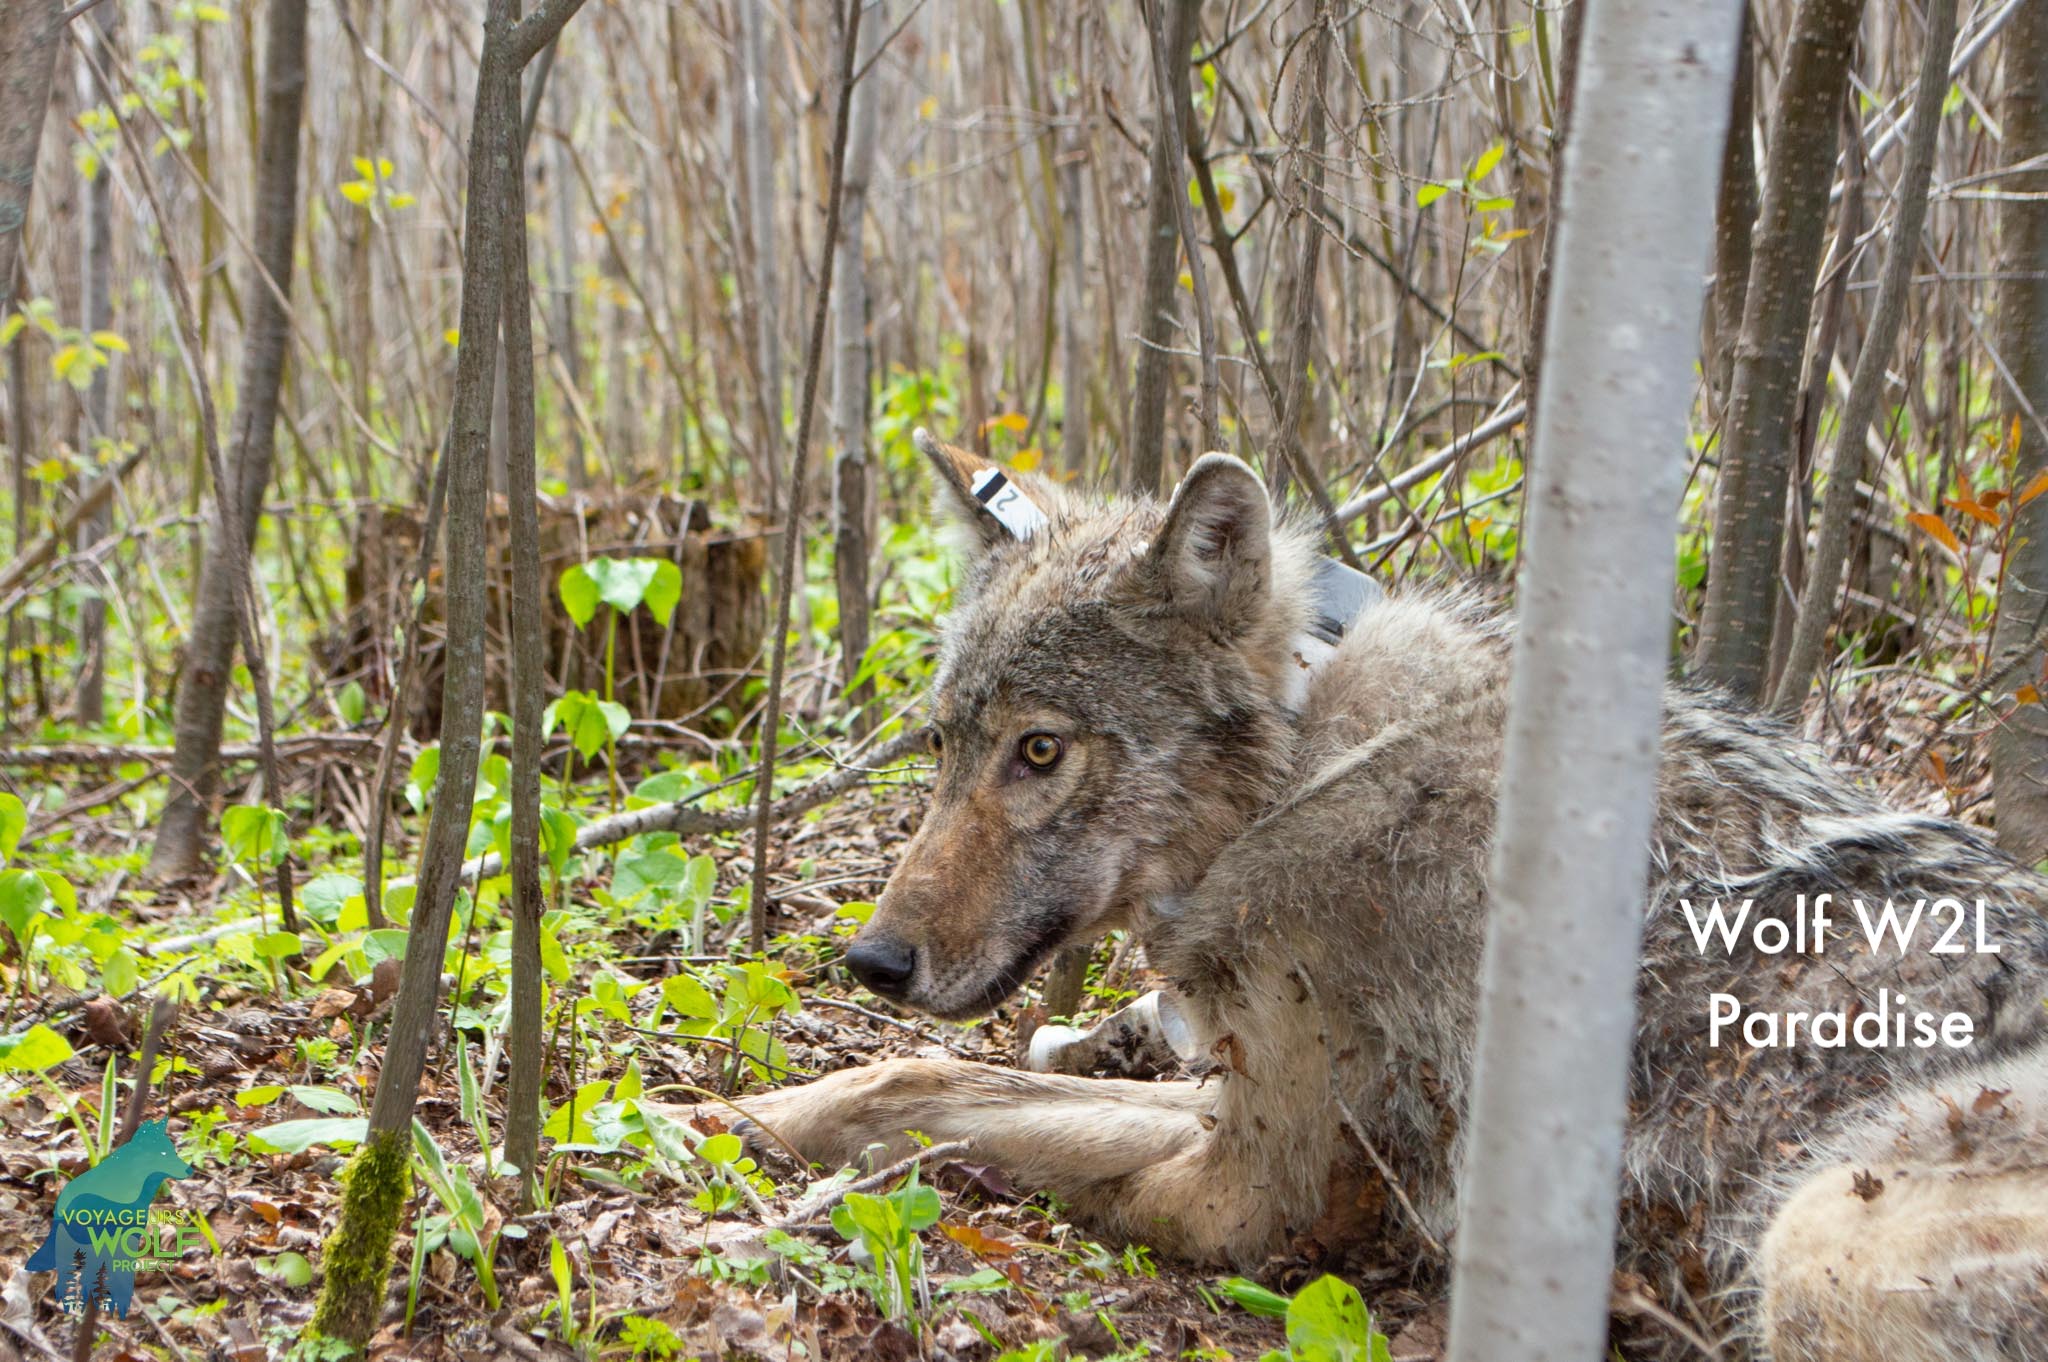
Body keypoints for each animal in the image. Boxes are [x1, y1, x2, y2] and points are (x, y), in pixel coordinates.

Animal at [724, 438, 2048, 1360]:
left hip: (1813, 1239)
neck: (1306, 757)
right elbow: (920, 1081)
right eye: (942, 745)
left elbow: (1034, 1140)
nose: (870, 964)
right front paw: (737, 1119)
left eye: (1039, 753)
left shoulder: (1247, 1191)